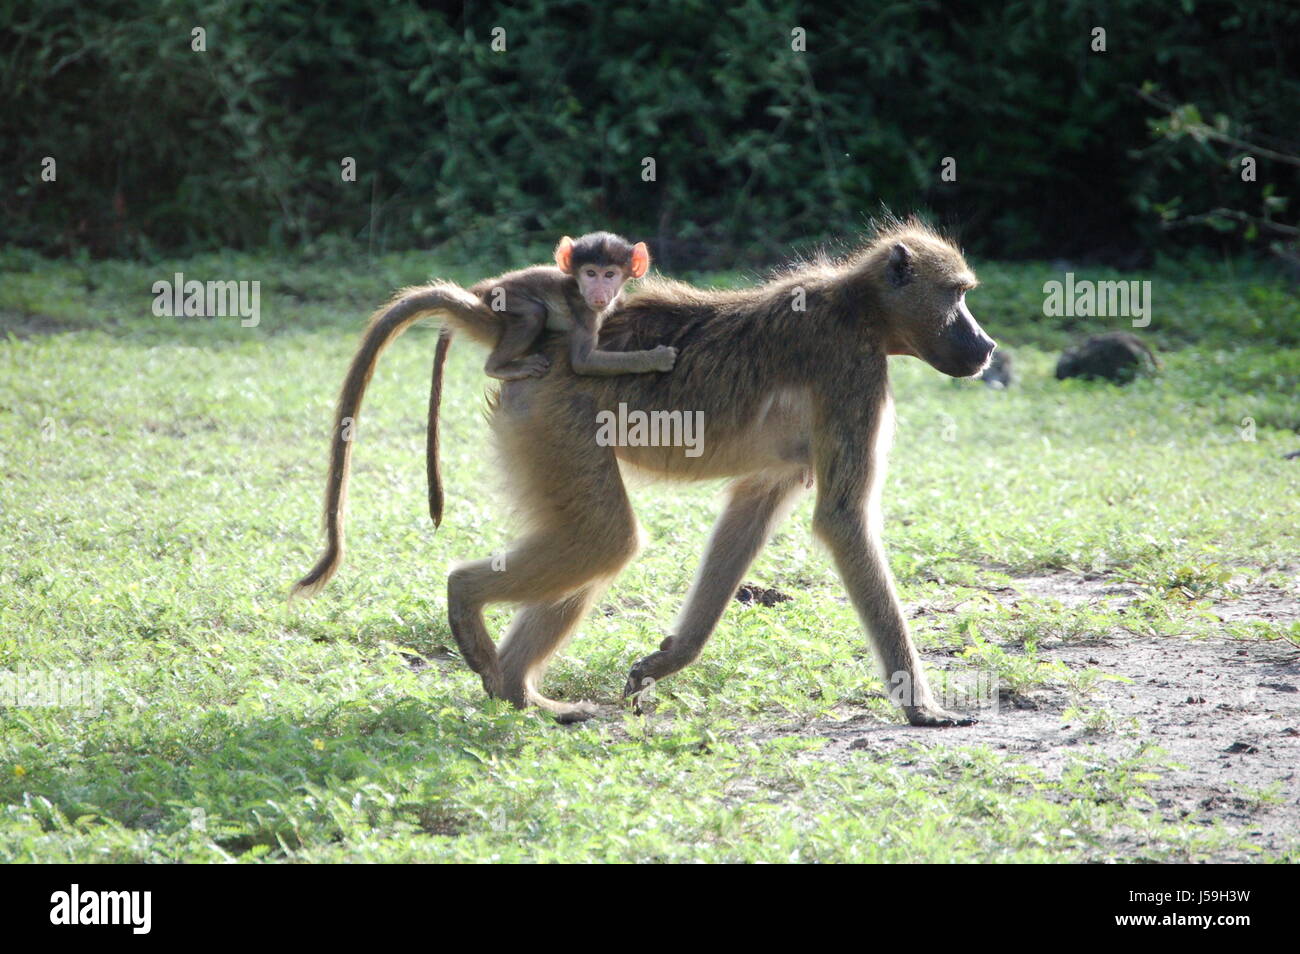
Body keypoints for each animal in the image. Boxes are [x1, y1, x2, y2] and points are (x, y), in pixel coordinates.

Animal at [293, 217, 997, 727]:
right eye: (957, 295)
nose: (987, 346)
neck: (861, 306)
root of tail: (531, 339)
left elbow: (749, 516)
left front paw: (667, 662)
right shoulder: (853, 375)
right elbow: (843, 520)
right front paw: (922, 707)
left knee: (593, 541)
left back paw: (518, 693)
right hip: (558, 418)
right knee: (605, 539)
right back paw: (468, 604)